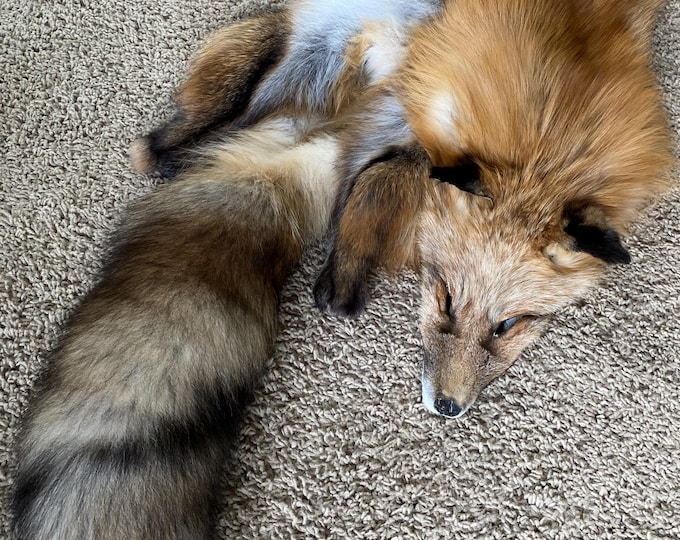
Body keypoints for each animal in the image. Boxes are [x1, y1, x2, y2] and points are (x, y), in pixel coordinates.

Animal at [11, 0, 672, 538]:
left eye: (509, 325)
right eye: (446, 301)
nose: (448, 409)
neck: (550, 132)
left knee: (177, 147)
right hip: (314, 62)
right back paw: (336, 280)